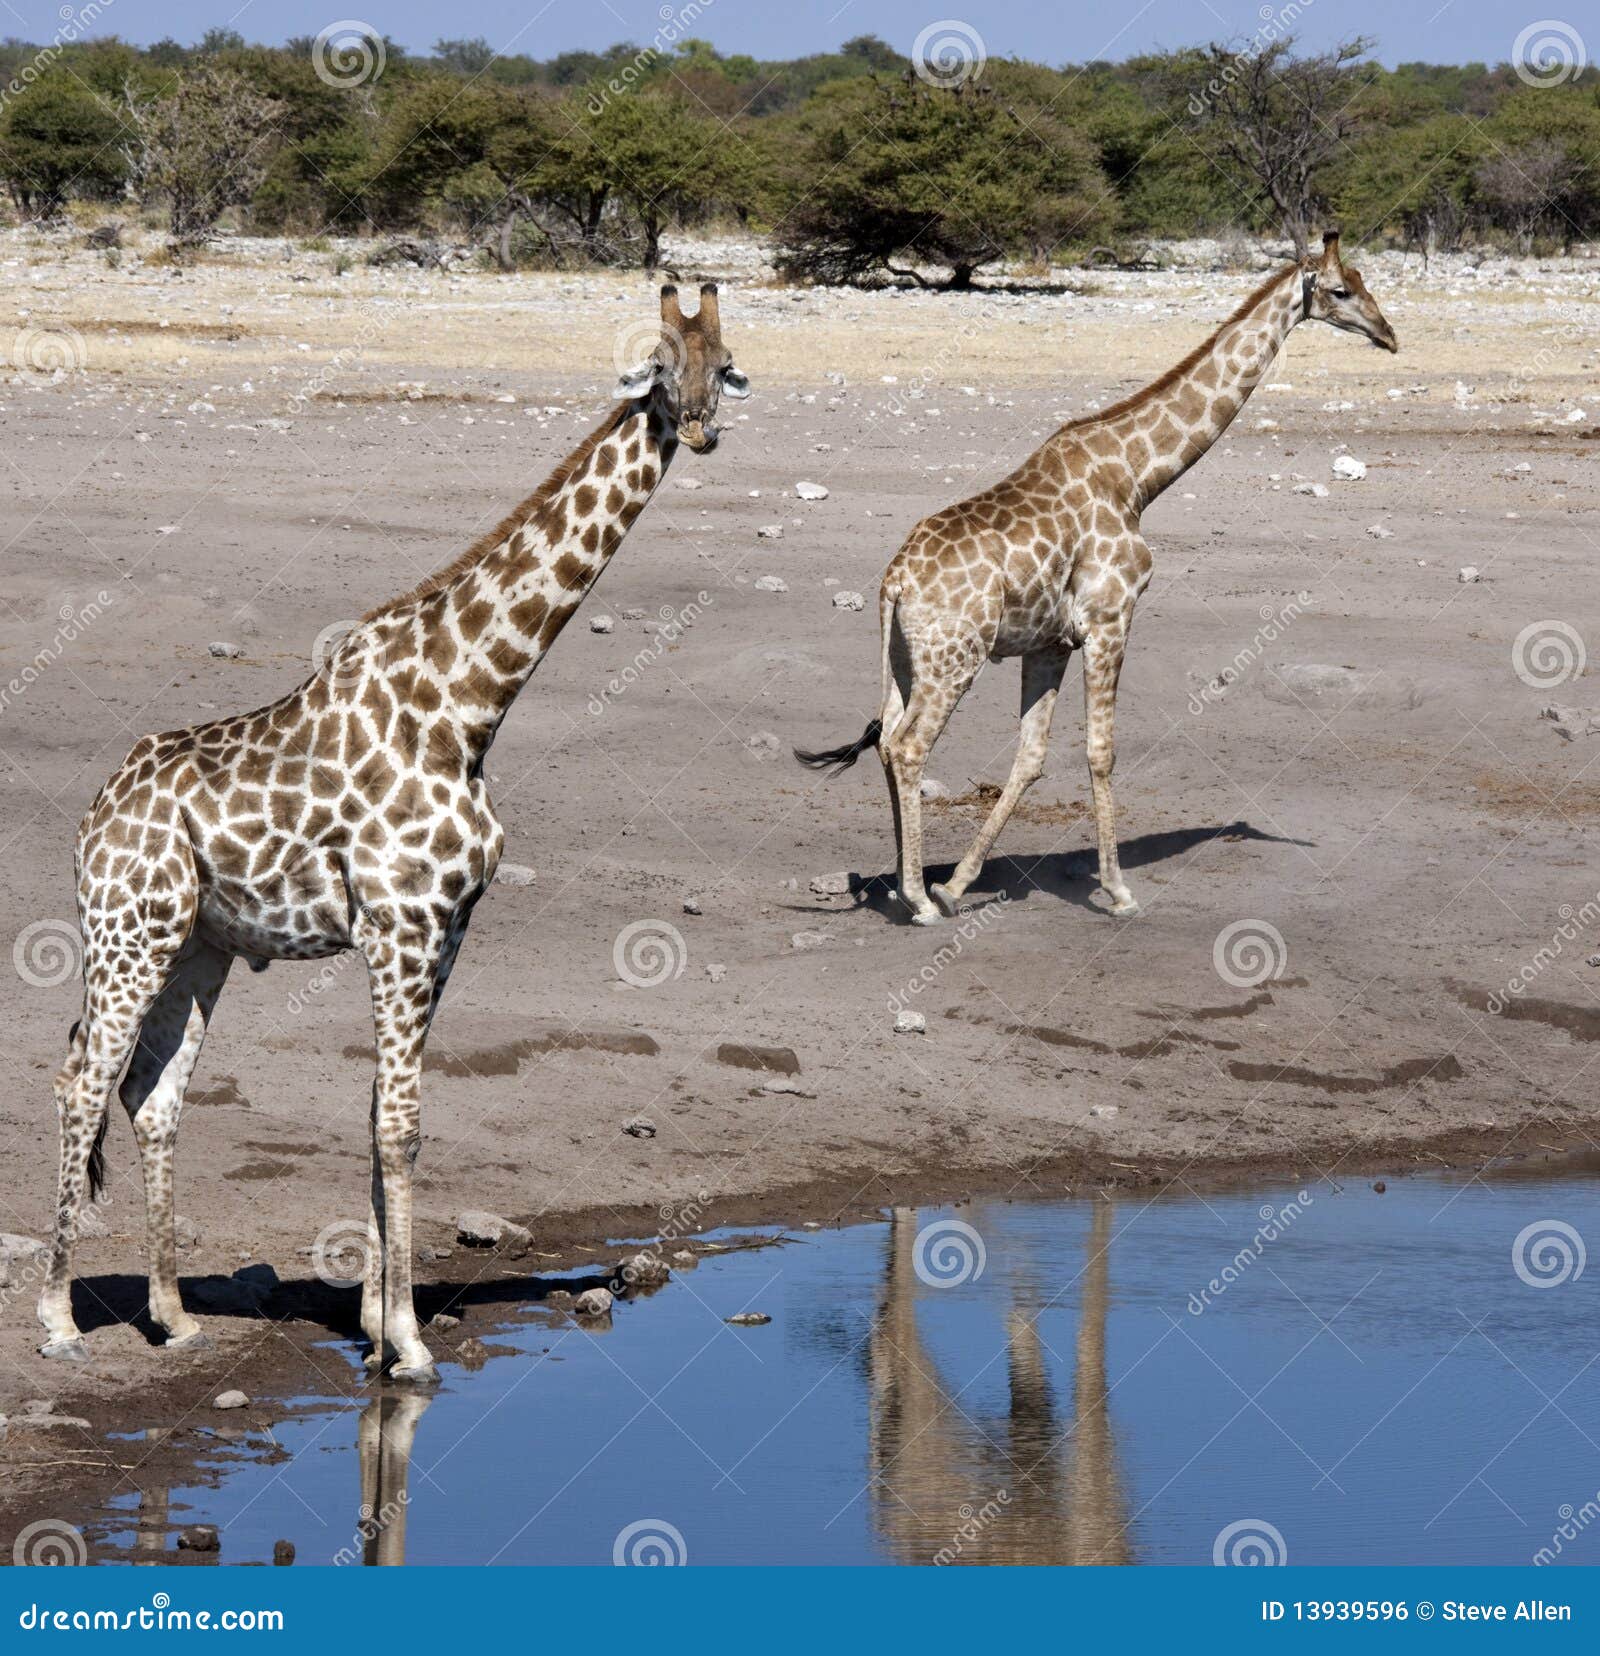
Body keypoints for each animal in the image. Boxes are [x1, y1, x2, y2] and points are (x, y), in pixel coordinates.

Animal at [37, 282, 750, 1382]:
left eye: (729, 363)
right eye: (662, 367)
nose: (705, 429)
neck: (469, 706)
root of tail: (93, 815)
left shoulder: (445, 928)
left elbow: (383, 1111)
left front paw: (378, 1320)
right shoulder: (400, 926)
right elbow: (402, 1122)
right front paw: (407, 1343)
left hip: (198, 945)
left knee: (152, 1094)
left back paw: (173, 1314)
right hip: (131, 929)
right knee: (80, 1078)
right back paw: (59, 1316)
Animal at [796, 232, 1396, 923]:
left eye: (1365, 281)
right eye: (1341, 290)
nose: (1388, 335)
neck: (1137, 477)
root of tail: (895, 580)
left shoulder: (1050, 643)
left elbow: (1031, 757)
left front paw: (960, 883)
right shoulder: (1111, 618)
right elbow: (1100, 751)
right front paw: (1117, 890)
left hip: (902, 658)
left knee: (887, 741)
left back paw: (906, 884)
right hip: (955, 656)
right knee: (908, 746)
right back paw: (916, 898)